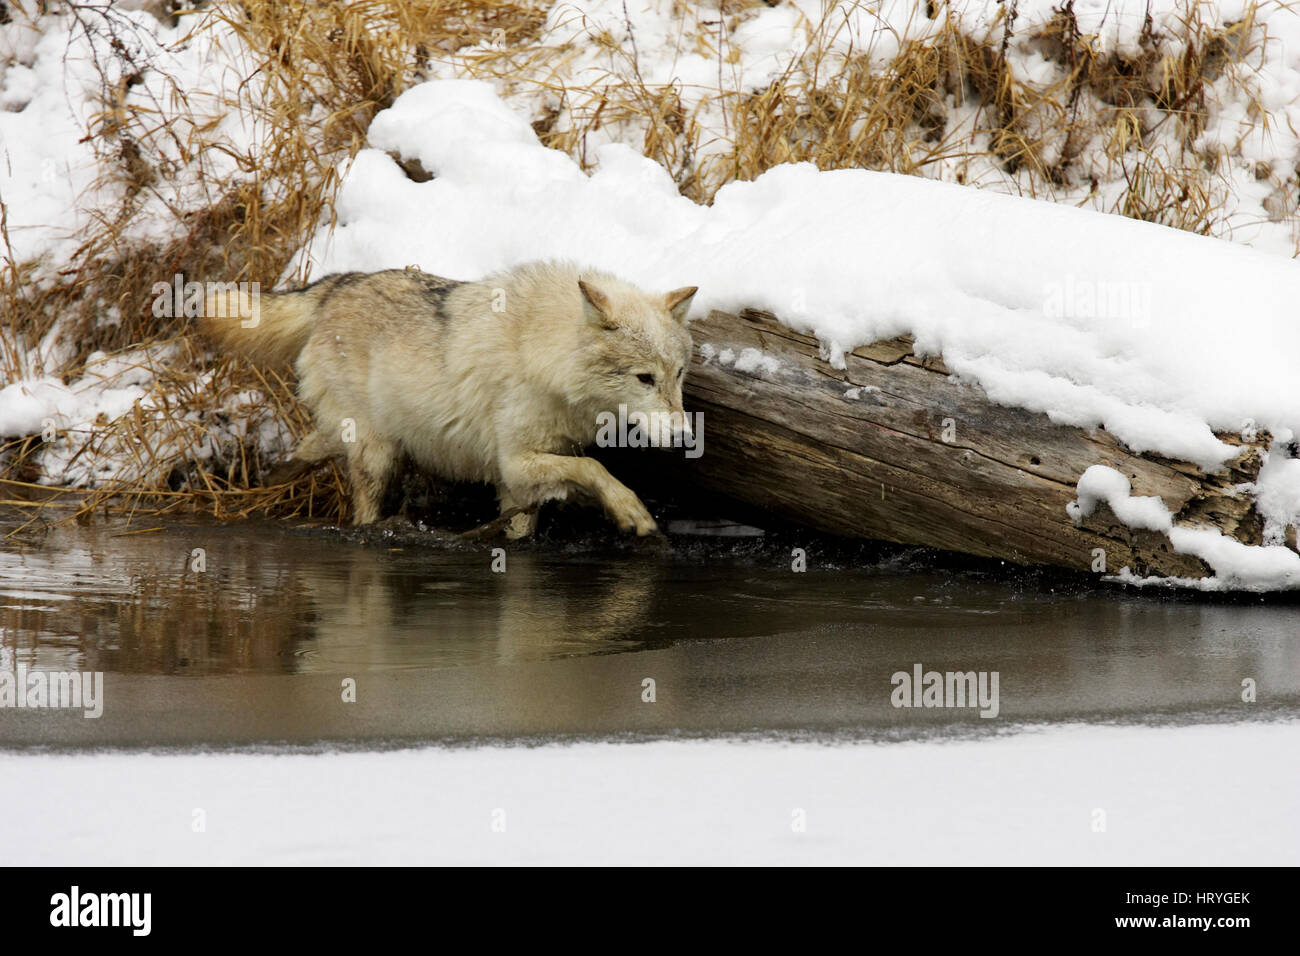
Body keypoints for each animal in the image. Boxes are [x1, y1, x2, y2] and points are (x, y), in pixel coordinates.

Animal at [202, 261, 697, 536]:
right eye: (644, 378)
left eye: (678, 375)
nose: (683, 437)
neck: (543, 352)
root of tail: (340, 283)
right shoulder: (516, 462)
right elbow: (596, 467)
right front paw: (632, 513)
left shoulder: (518, 483)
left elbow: (525, 529)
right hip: (377, 456)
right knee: (362, 515)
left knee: (311, 445)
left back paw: (273, 475)